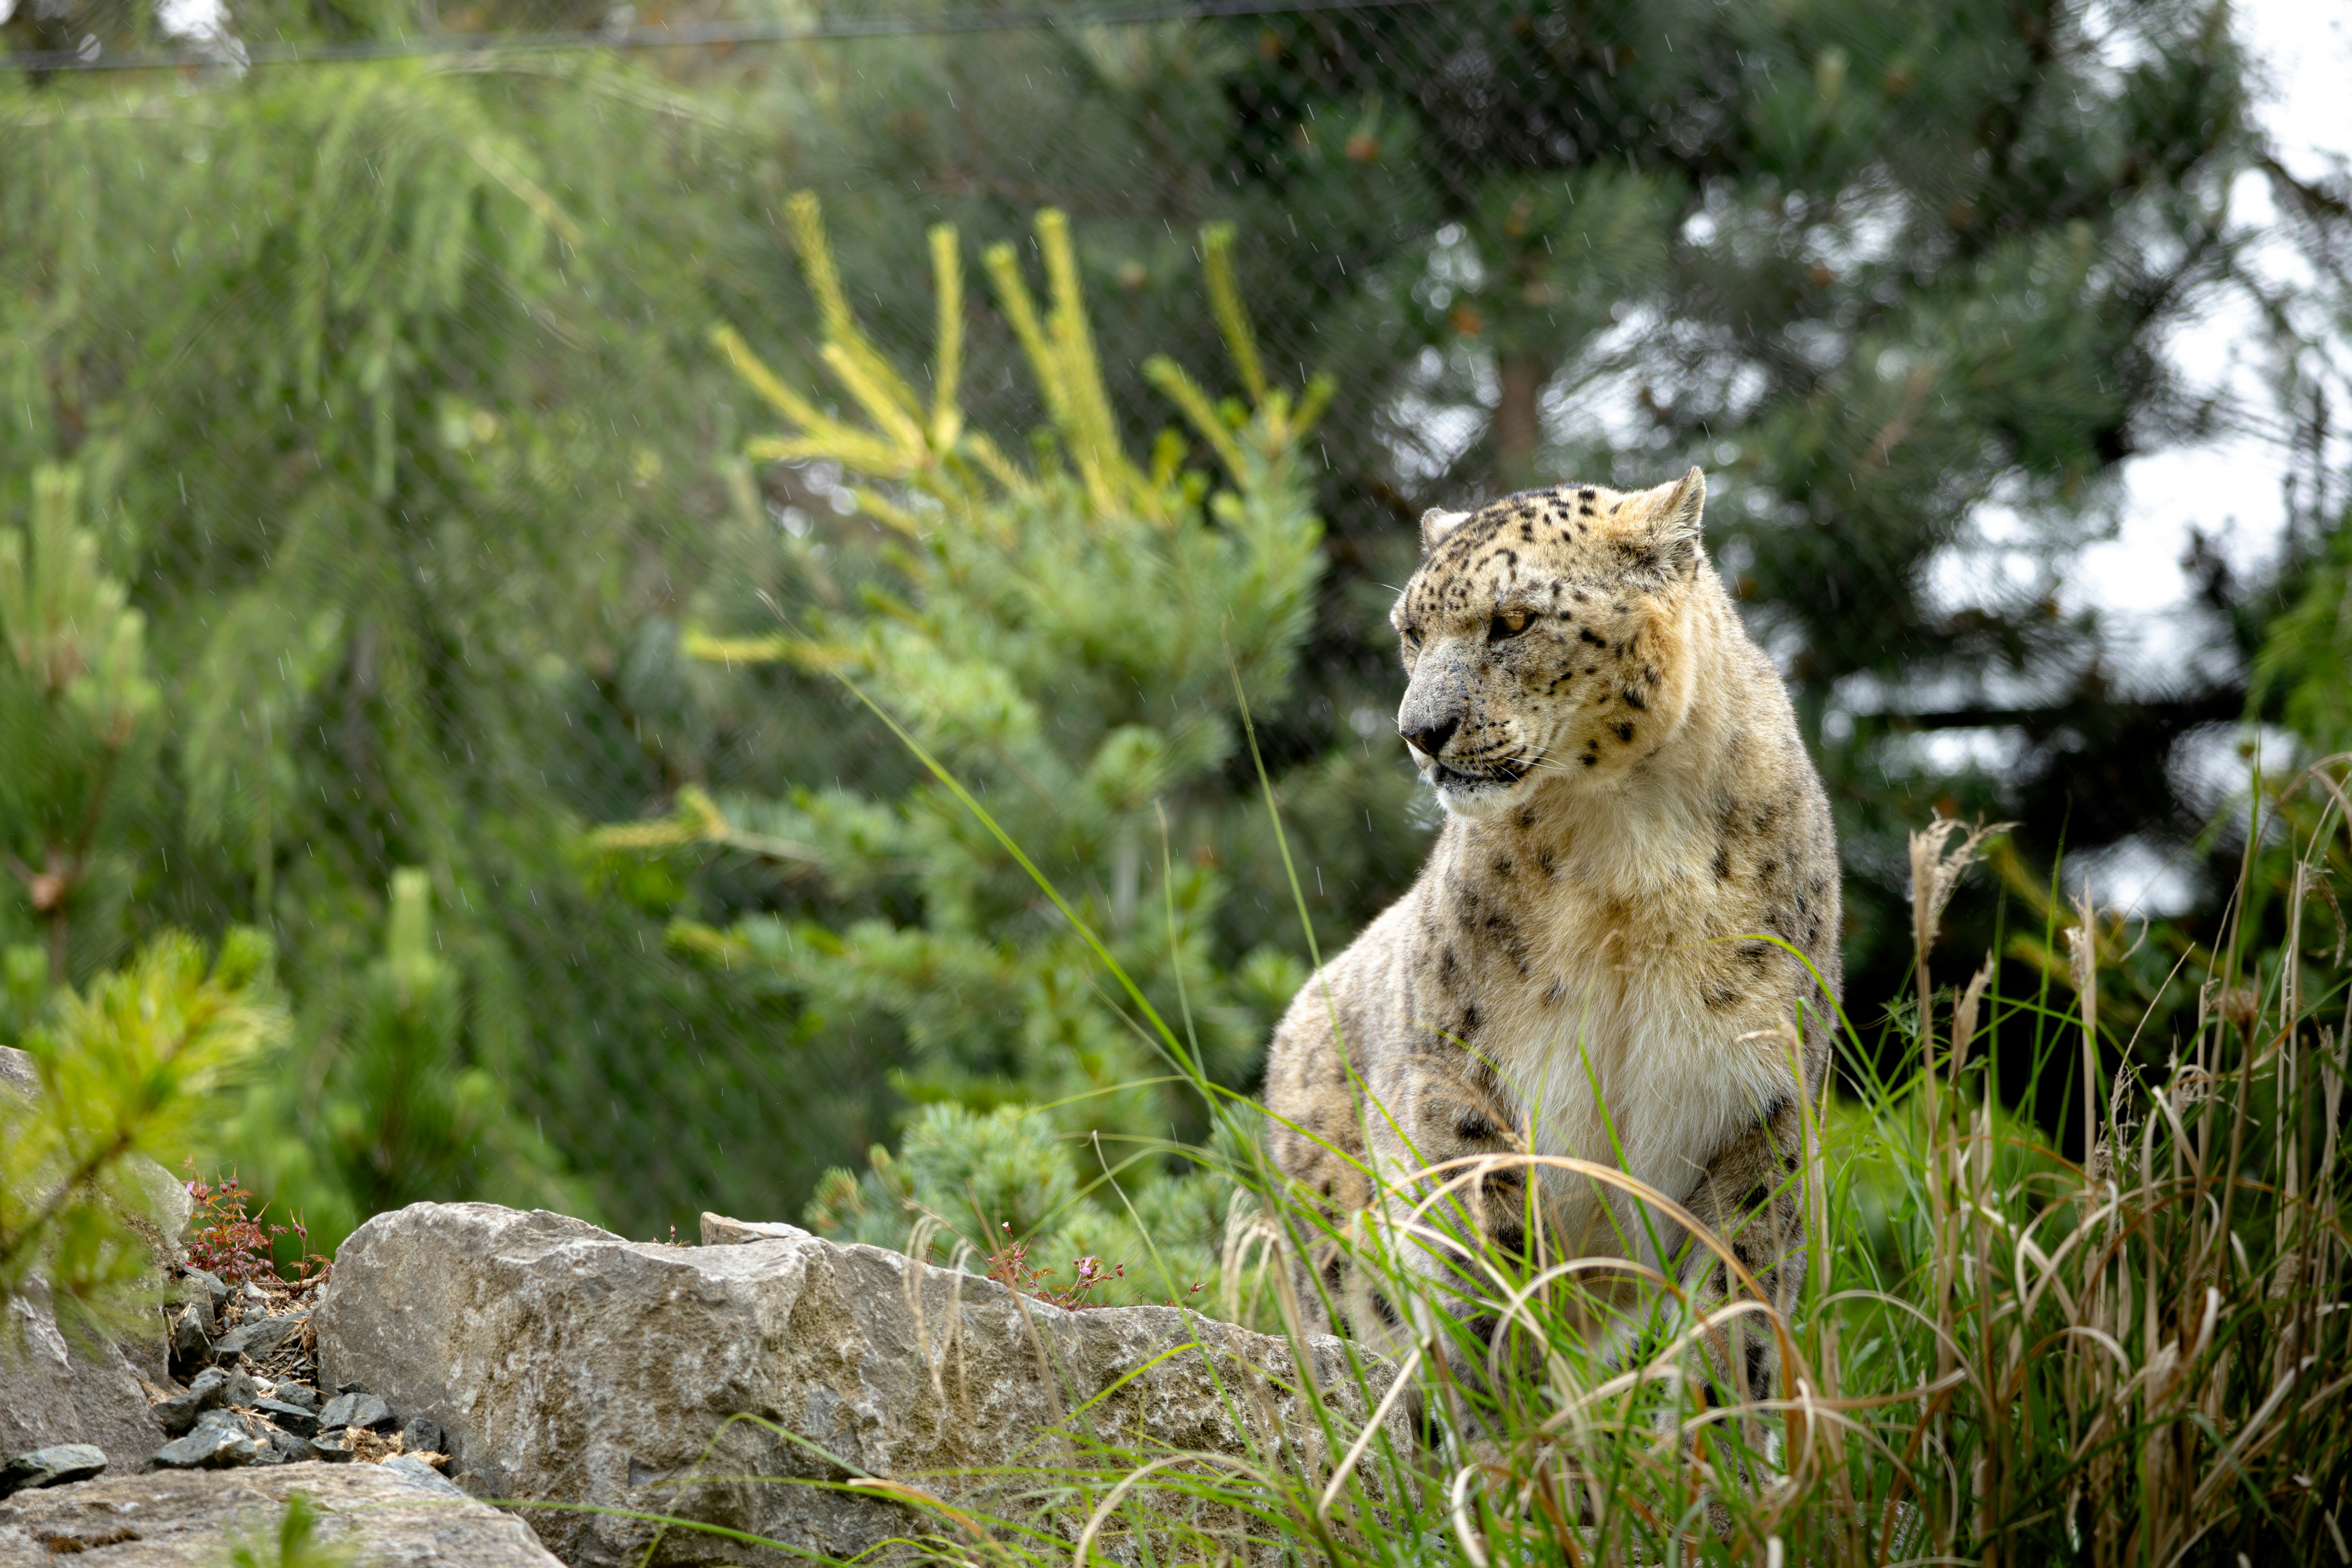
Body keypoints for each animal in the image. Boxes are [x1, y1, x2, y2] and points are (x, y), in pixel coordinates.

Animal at [1261, 466, 1841, 1412]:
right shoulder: (1462, 1080)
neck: (1629, 852)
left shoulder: (1759, 1103)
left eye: (1513, 621)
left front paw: (1735, 1431)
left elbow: (1741, 1308)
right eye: (1410, 631)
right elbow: (1488, 1271)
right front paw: (1512, 1427)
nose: (1419, 732)